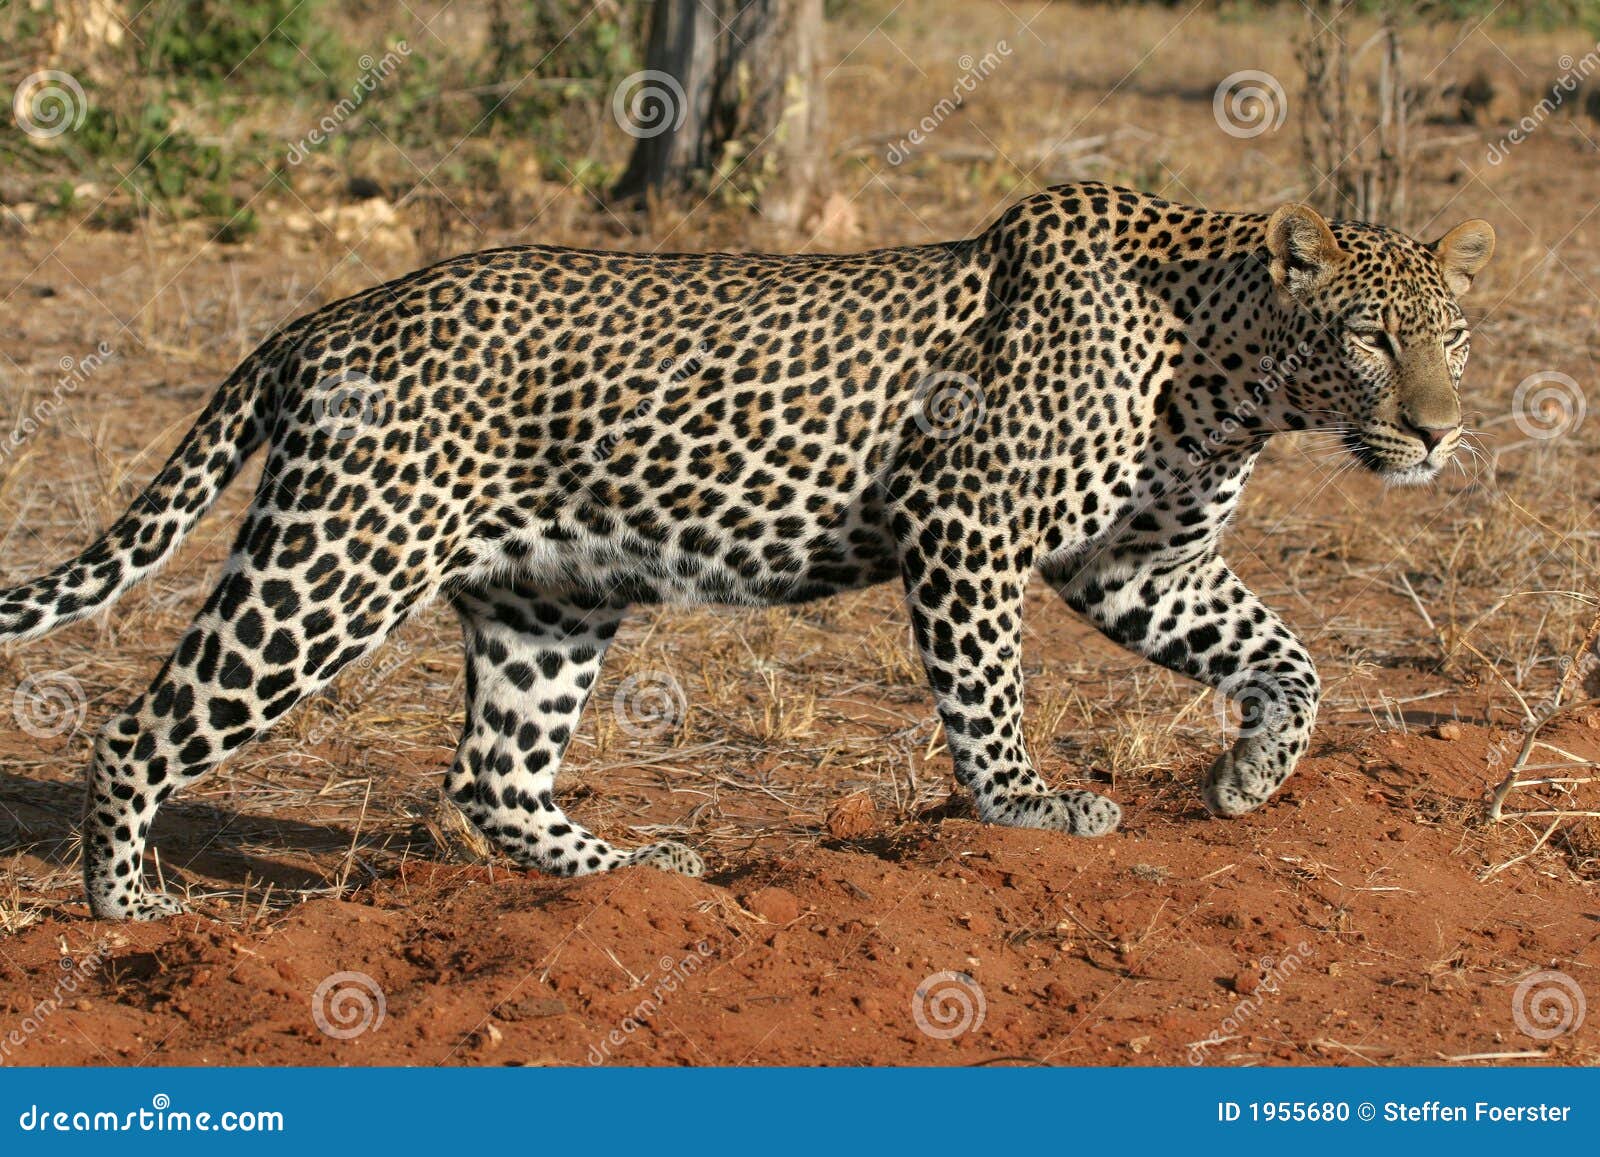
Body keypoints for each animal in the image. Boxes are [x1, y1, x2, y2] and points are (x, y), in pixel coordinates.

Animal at [0, 182, 1494, 922]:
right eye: (1369, 336)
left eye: (1456, 334)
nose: (1438, 431)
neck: (1228, 373)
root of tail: (324, 318)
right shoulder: (966, 525)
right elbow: (987, 697)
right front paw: (1027, 808)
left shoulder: (1142, 565)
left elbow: (1290, 660)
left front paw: (1249, 780)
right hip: (340, 559)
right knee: (138, 725)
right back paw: (126, 904)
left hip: (548, 598)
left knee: (492, 772)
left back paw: (631, 878)